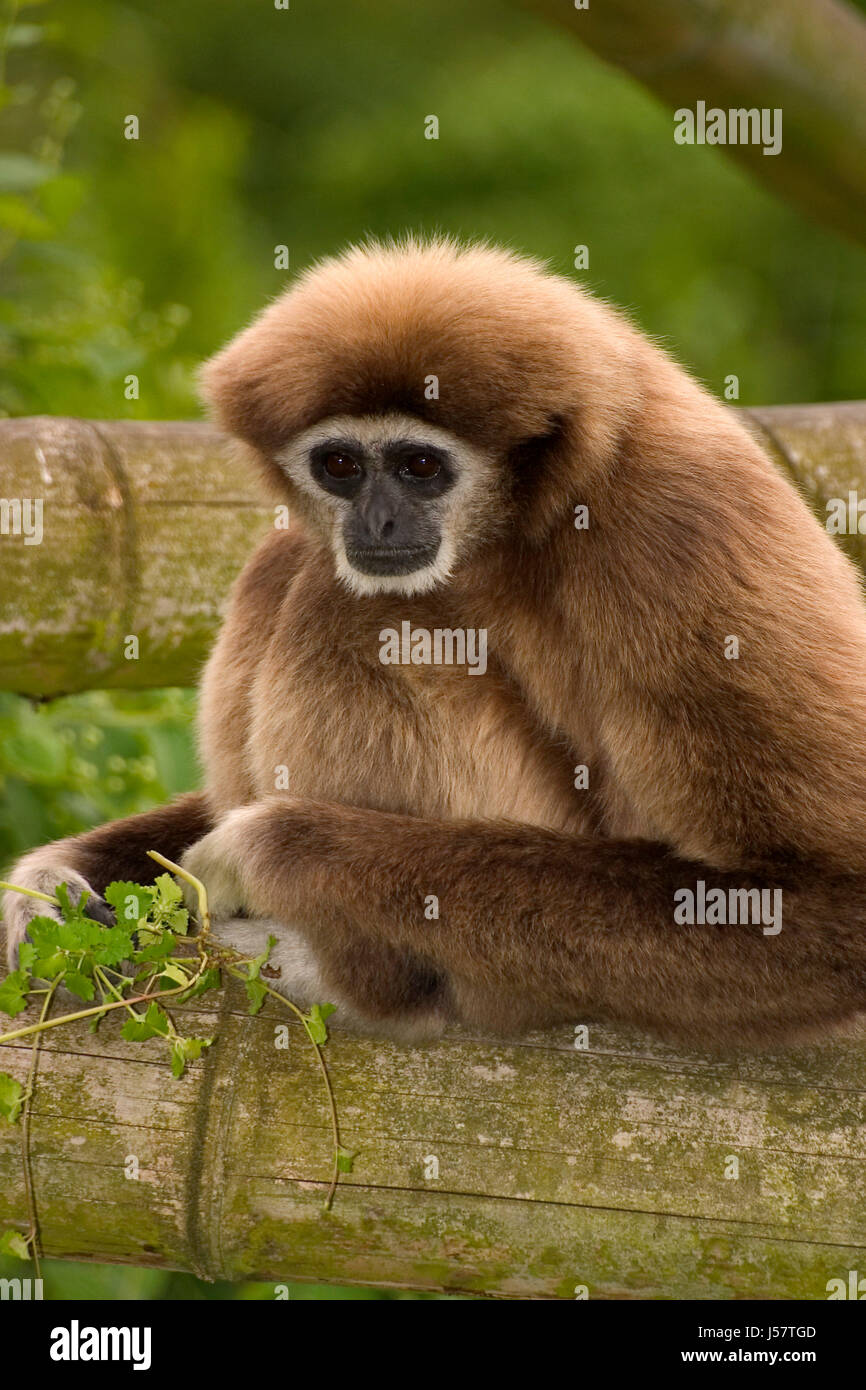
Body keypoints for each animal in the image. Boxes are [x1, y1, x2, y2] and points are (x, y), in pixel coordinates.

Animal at [5, 235, 866, 1047]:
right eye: (340, 464)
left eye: (420, 466)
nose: (378, 520)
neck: (534, 515)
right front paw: (51, 879)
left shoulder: (676, 530)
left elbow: (816, 897)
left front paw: (271, 850)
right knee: (291, 560)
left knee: (340, 599)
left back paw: (358, 976)